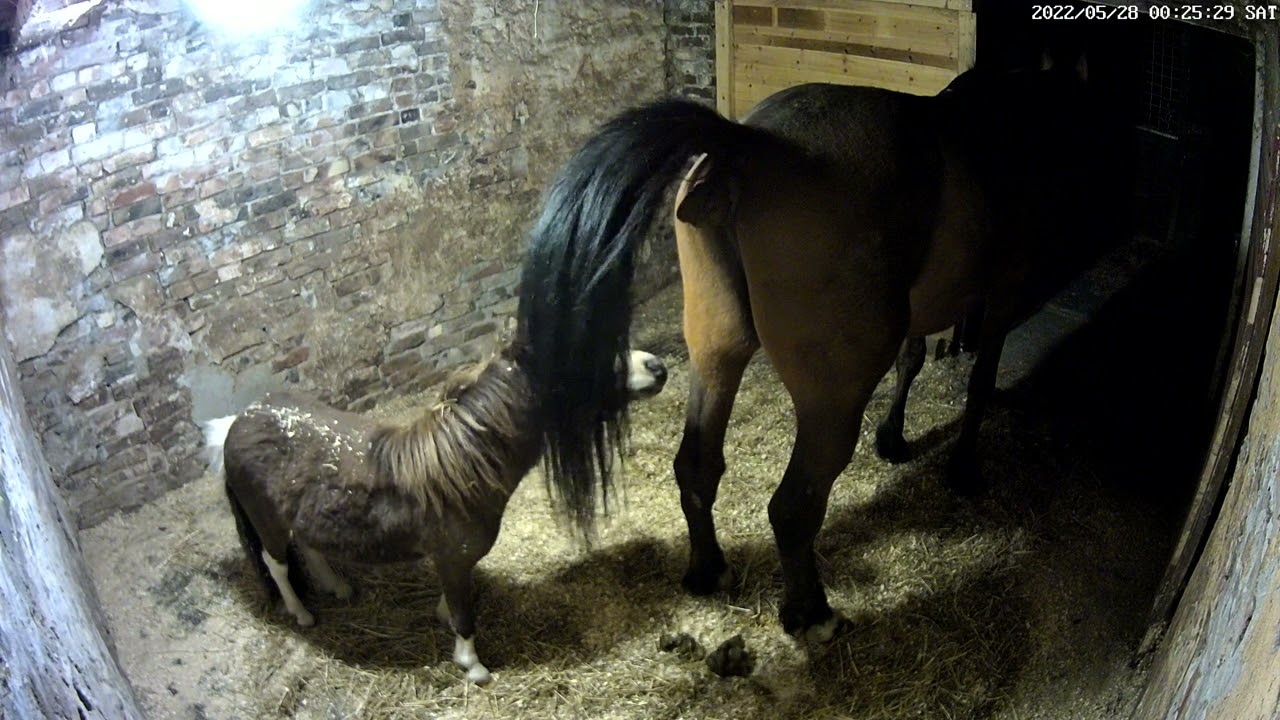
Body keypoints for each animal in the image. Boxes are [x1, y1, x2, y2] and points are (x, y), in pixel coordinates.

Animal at [201, 346, 667, 685]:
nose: (656, 366)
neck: (464, 463)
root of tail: (238, 422)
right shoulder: (453, 557)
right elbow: (464, 613)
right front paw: (472, 666)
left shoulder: (452, 559)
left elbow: (455, 598)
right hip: (267, 523)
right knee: (276, 565)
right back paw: (301, 613)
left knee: (309, 546)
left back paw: (338, 587)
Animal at [515, 60, 1119, 641]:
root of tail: (755, 145)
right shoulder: (1004, 290)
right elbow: (979, 381)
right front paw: (964, 466)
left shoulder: (926, 310)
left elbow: (913, 360)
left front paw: (894, 437)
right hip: (833, 399)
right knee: (794, 507)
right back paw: (811, 614)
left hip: (715, 353)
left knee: (696, 467)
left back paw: (709, 571)